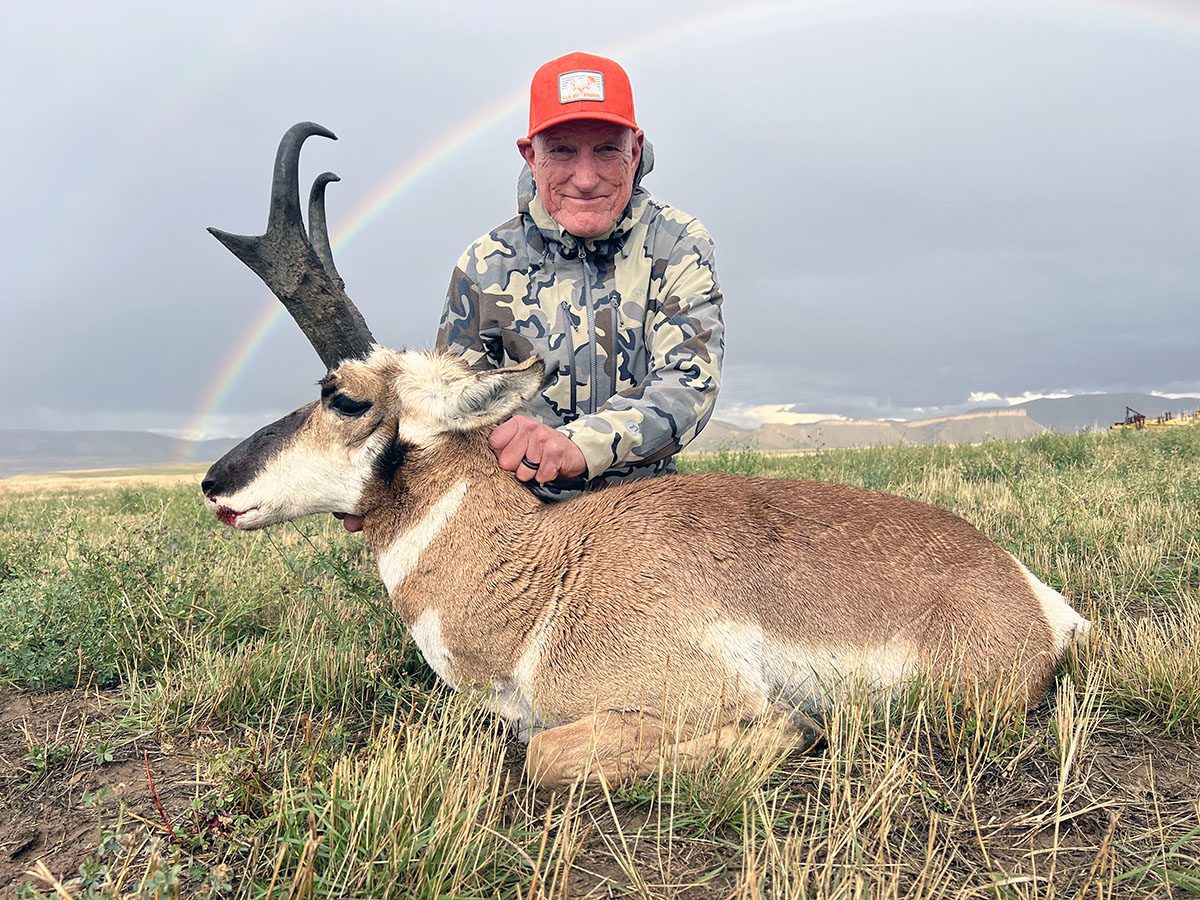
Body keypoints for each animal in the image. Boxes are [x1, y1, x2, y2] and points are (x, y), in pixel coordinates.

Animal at [202, 123, 1090, 789]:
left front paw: (790, 732)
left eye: (344, 397)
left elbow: (546, 753)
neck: (545, 575)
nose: (214, 482)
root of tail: (1022, 587)